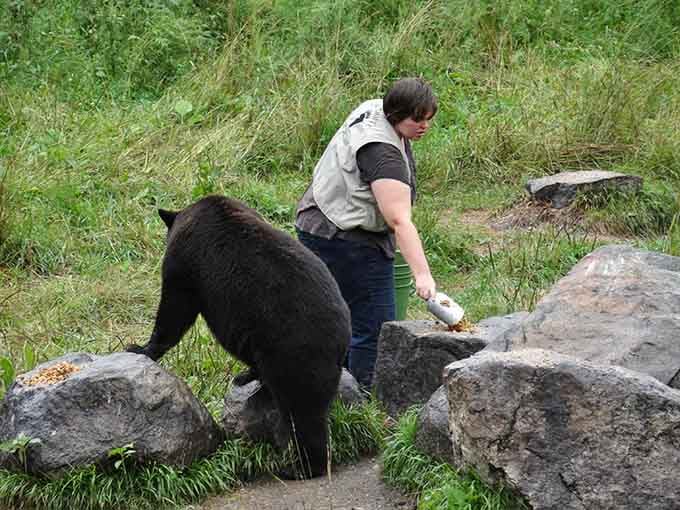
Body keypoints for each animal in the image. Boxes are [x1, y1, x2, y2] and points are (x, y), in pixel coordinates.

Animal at [126, 195, 351, 479]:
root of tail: (342, 338)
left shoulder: (185, 261)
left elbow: (175, 307)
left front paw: (140, 348)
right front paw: (245, 375)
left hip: (294, 352)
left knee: (302, 413)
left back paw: (299, 467)